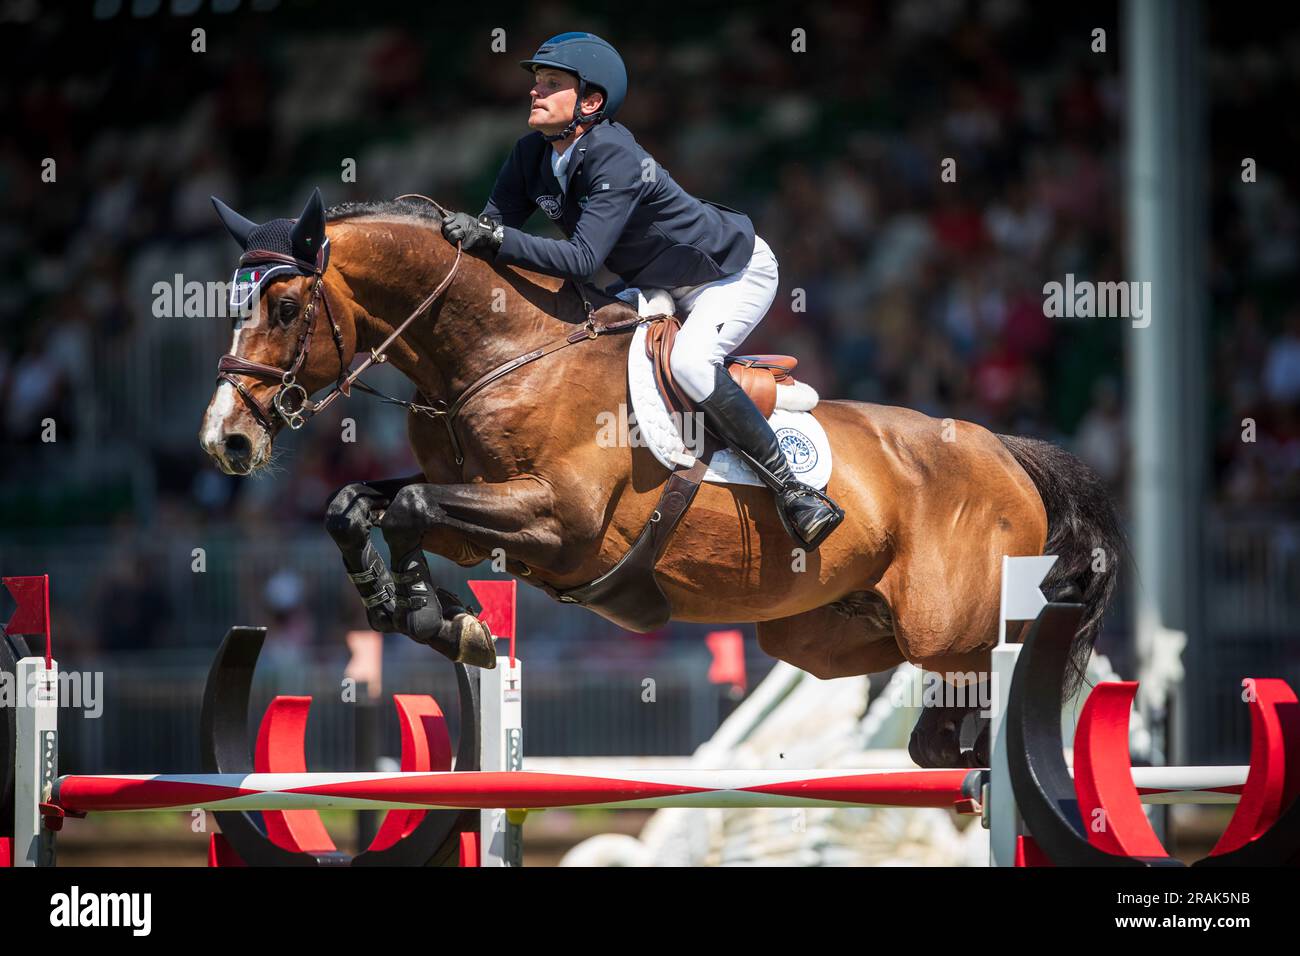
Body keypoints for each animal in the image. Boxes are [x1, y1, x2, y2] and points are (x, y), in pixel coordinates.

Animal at [199, 191, 1125, 768]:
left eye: (286, 308)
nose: (225, 440)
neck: (500, 355)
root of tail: (1004, 451)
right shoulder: (483, 522)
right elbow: (359, 506)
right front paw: (409, 609)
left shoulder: (558, 523)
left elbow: (410, 507)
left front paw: (442, 620)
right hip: (822, 635)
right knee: (922, 725)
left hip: (951, 628)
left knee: (988, 678)